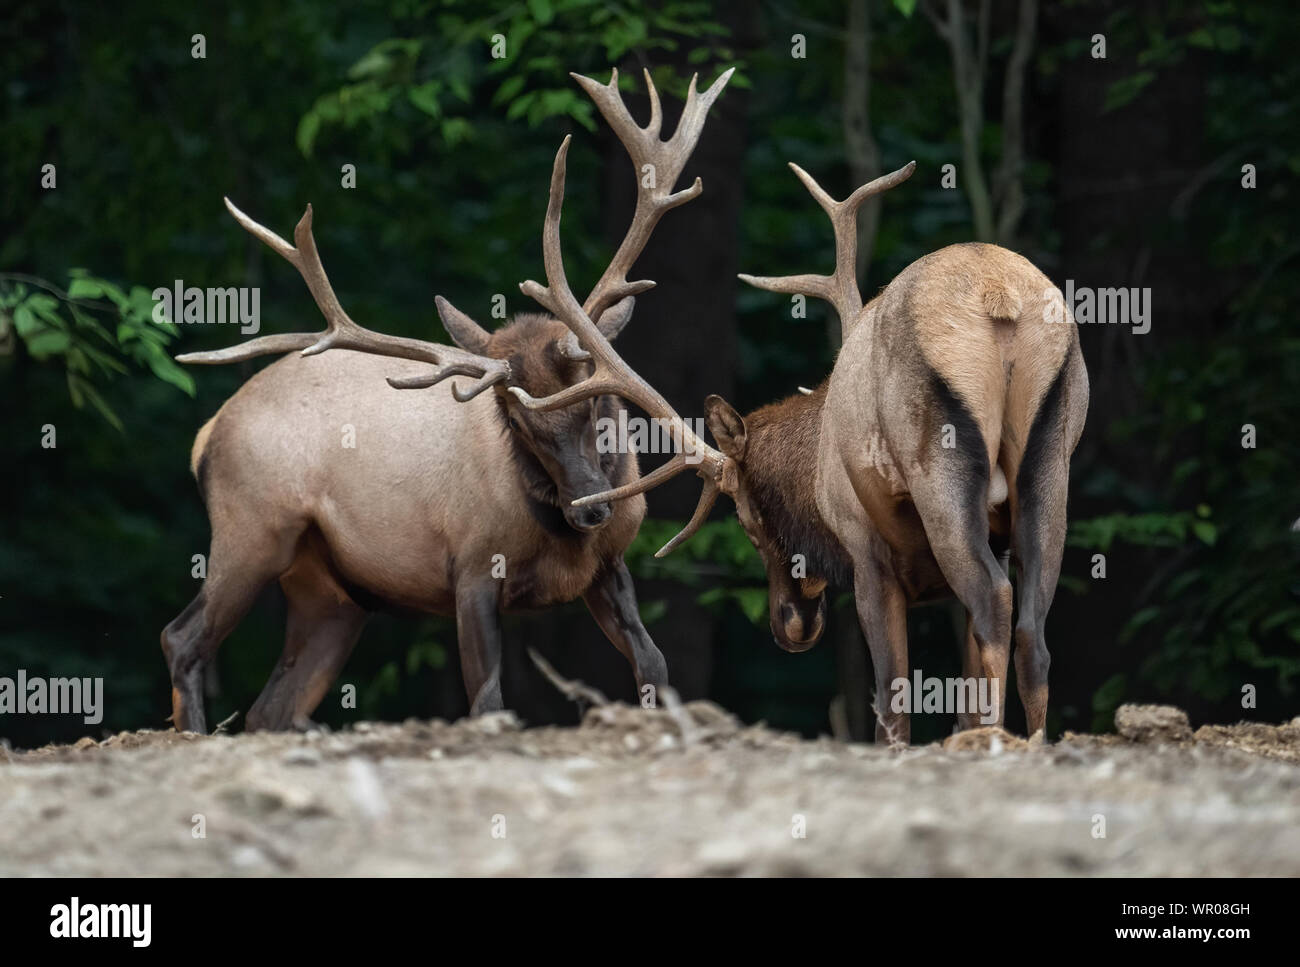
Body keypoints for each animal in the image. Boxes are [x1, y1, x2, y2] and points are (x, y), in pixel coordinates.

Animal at [161, 67, 733, 734]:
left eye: (595, 406)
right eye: (514, 416)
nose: (591, 507)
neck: (552, 530)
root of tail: (206, 434)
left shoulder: (610, 564)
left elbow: (655, 663)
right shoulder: (471, 564)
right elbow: (486, 701)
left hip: (332, 592)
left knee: (269, 708)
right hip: (252, 525)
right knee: (183, 637)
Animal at [505, 145, 1088, 744]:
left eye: (745, 520)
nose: (792, 627)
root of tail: (1001, 298)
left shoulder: (864, 544)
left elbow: (893, 699)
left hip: (938, 465)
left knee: (995, 600)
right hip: (1051, 462)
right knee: (1033, 634)